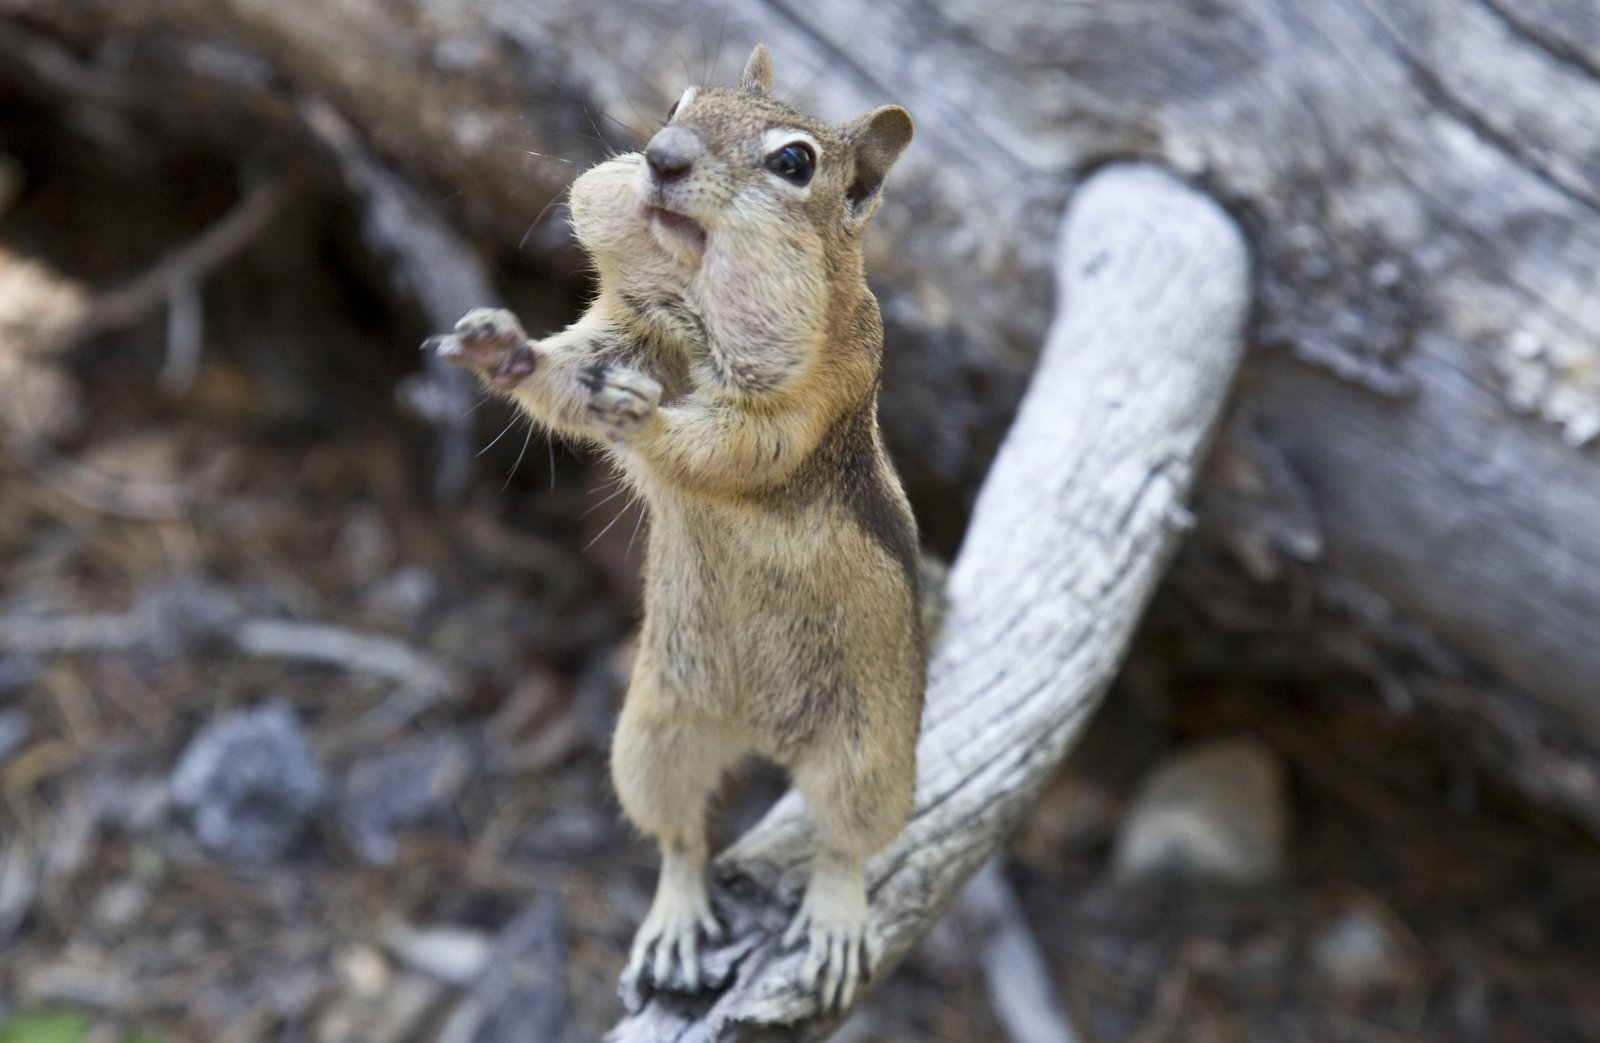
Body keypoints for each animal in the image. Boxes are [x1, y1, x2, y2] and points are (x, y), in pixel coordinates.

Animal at [424, 44, 922, 1011]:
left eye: (794, 162)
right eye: (674, 104)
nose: (659, 158)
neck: (694, 309)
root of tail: (759, 734)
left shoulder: (807, 398)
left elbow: (732, 445)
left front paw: (647, 420)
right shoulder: (624, 331)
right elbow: (570, 376)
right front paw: (508, 351)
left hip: (868, 752)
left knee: (845, 844)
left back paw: (835, 917)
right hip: (655, 730)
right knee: (681, 835)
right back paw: (676, 920)